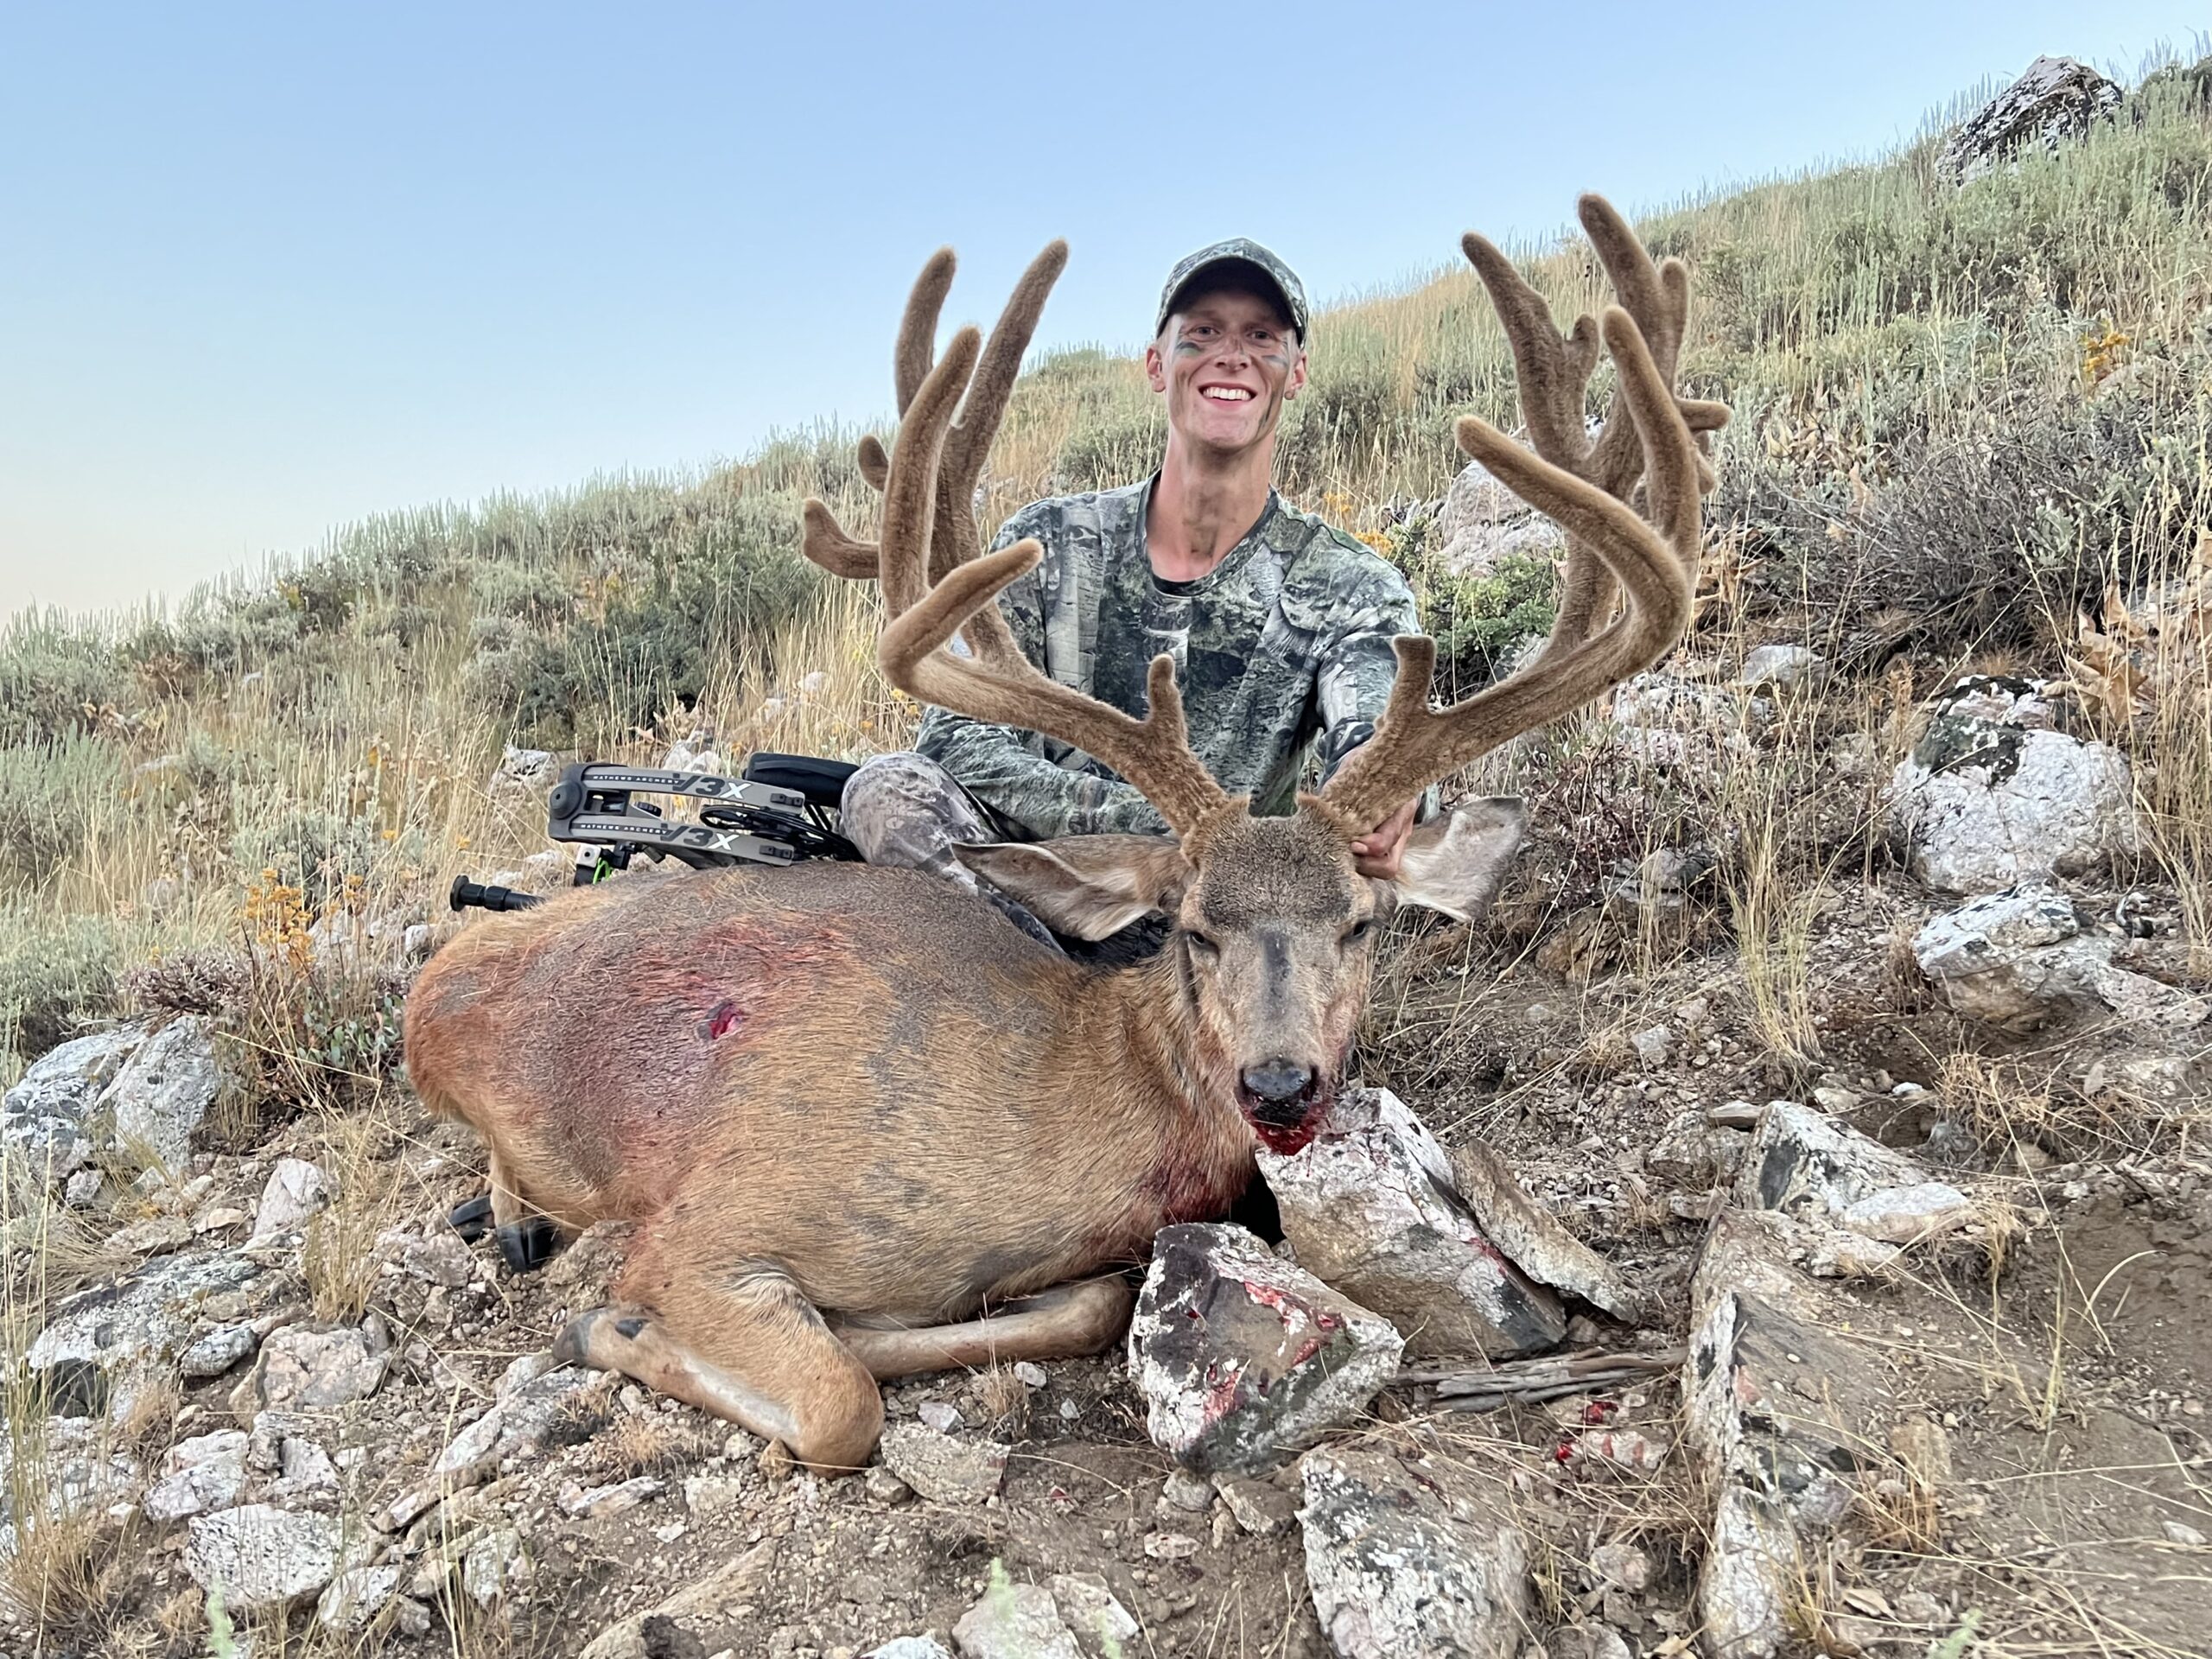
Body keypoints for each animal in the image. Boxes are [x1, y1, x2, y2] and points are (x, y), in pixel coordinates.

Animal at [401, 196, 1726, 1474]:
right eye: (1190, 929)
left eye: (1361, 923)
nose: (1281, 1084)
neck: (1063, 1117)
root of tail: (436, 975)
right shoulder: (713, 1221)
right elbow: (836, 1404)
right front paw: (605, 1324)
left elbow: (1069, 1311)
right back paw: (522, 1225)